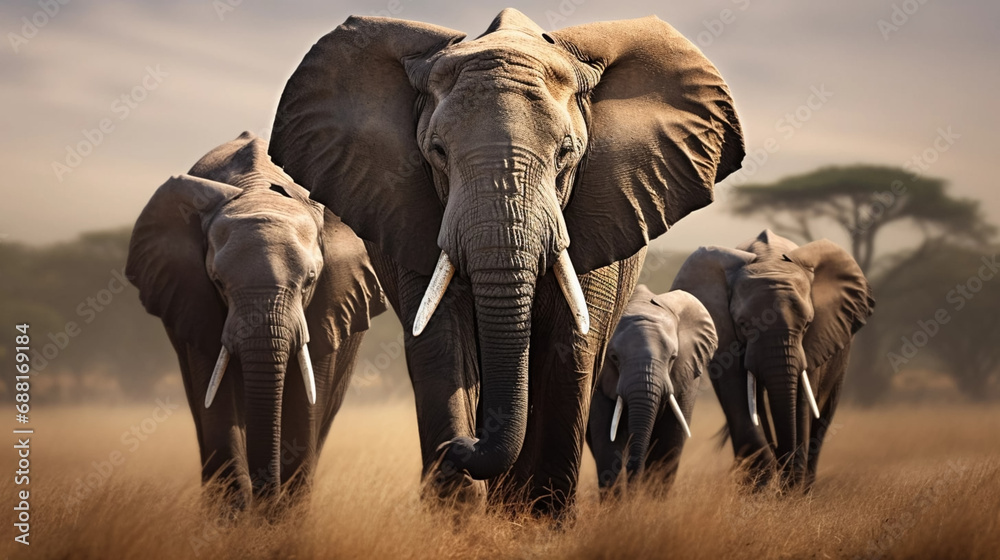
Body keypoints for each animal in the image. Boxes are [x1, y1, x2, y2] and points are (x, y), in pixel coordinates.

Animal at [125, 131, 385, 512]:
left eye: (310, 280)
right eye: (218, 282)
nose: (267, 499)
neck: (260, 191)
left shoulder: (328, 305)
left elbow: (304, 409)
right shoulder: (196, 303)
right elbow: (217, 409)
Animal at [587, 285, 717, 495]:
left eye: (673, 357)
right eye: (614, 357)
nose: (634, 491)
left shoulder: (686, 378)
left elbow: (670, 439)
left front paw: (651, 501)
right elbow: (607, 443)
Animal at [671, 230, 874, 490]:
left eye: (807, 324)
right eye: (744, 325)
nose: (782, 462)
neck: (770, 260)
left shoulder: (814, 340)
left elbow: (803, 403)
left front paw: (788, 488)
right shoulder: (725, 334)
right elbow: (737, 396)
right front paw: (760, 485)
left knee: (823, 417)